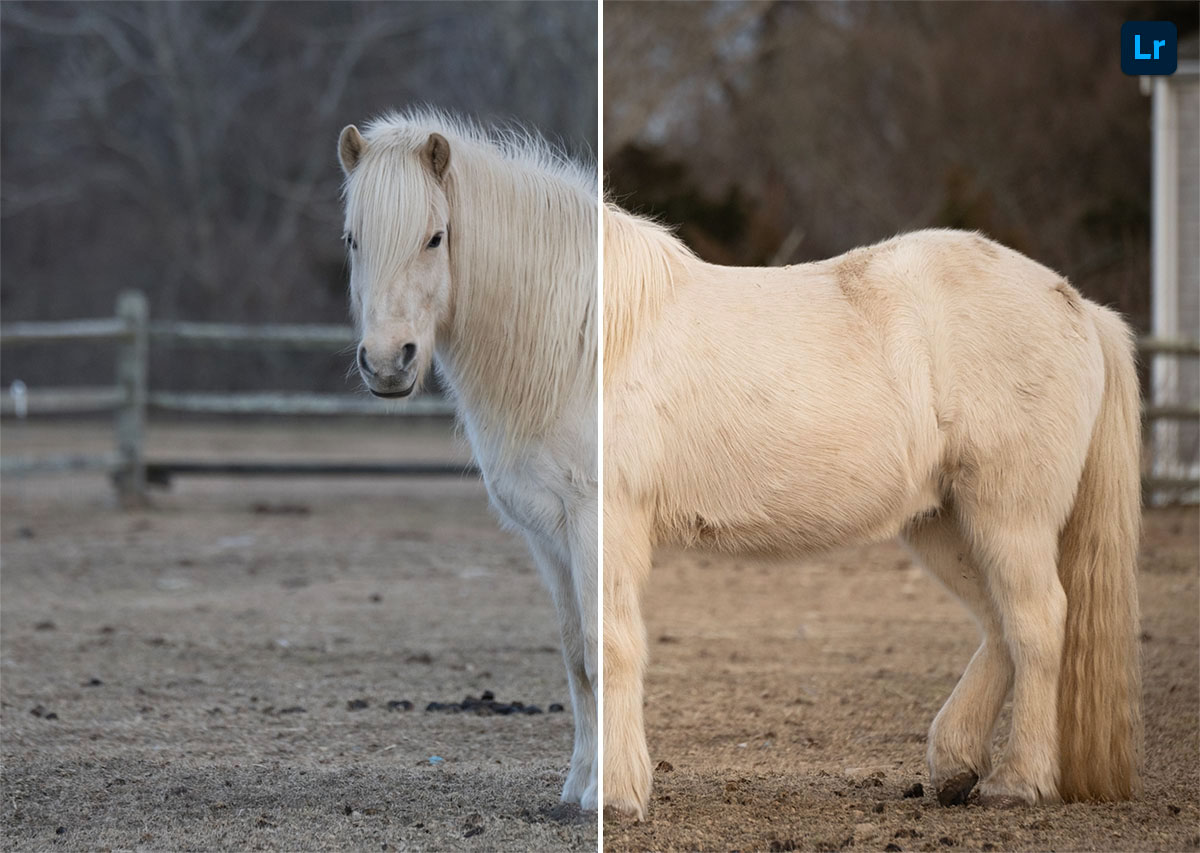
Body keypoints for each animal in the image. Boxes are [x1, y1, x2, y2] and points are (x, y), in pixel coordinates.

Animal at [337, 110, 598, 809]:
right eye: (353, 240)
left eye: (435, 238)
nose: (386, 363)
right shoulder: (552, 538)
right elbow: (578, 659)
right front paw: (579, 789)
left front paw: (602, 794)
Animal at [602, 203, 1142, 819]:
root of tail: (1078, 305)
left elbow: (606, 644)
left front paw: (612, 797)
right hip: (948, 525)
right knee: (998, 623)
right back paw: (956, 766)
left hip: (1009, 517)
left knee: (1037, 622)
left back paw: (1018, 781)